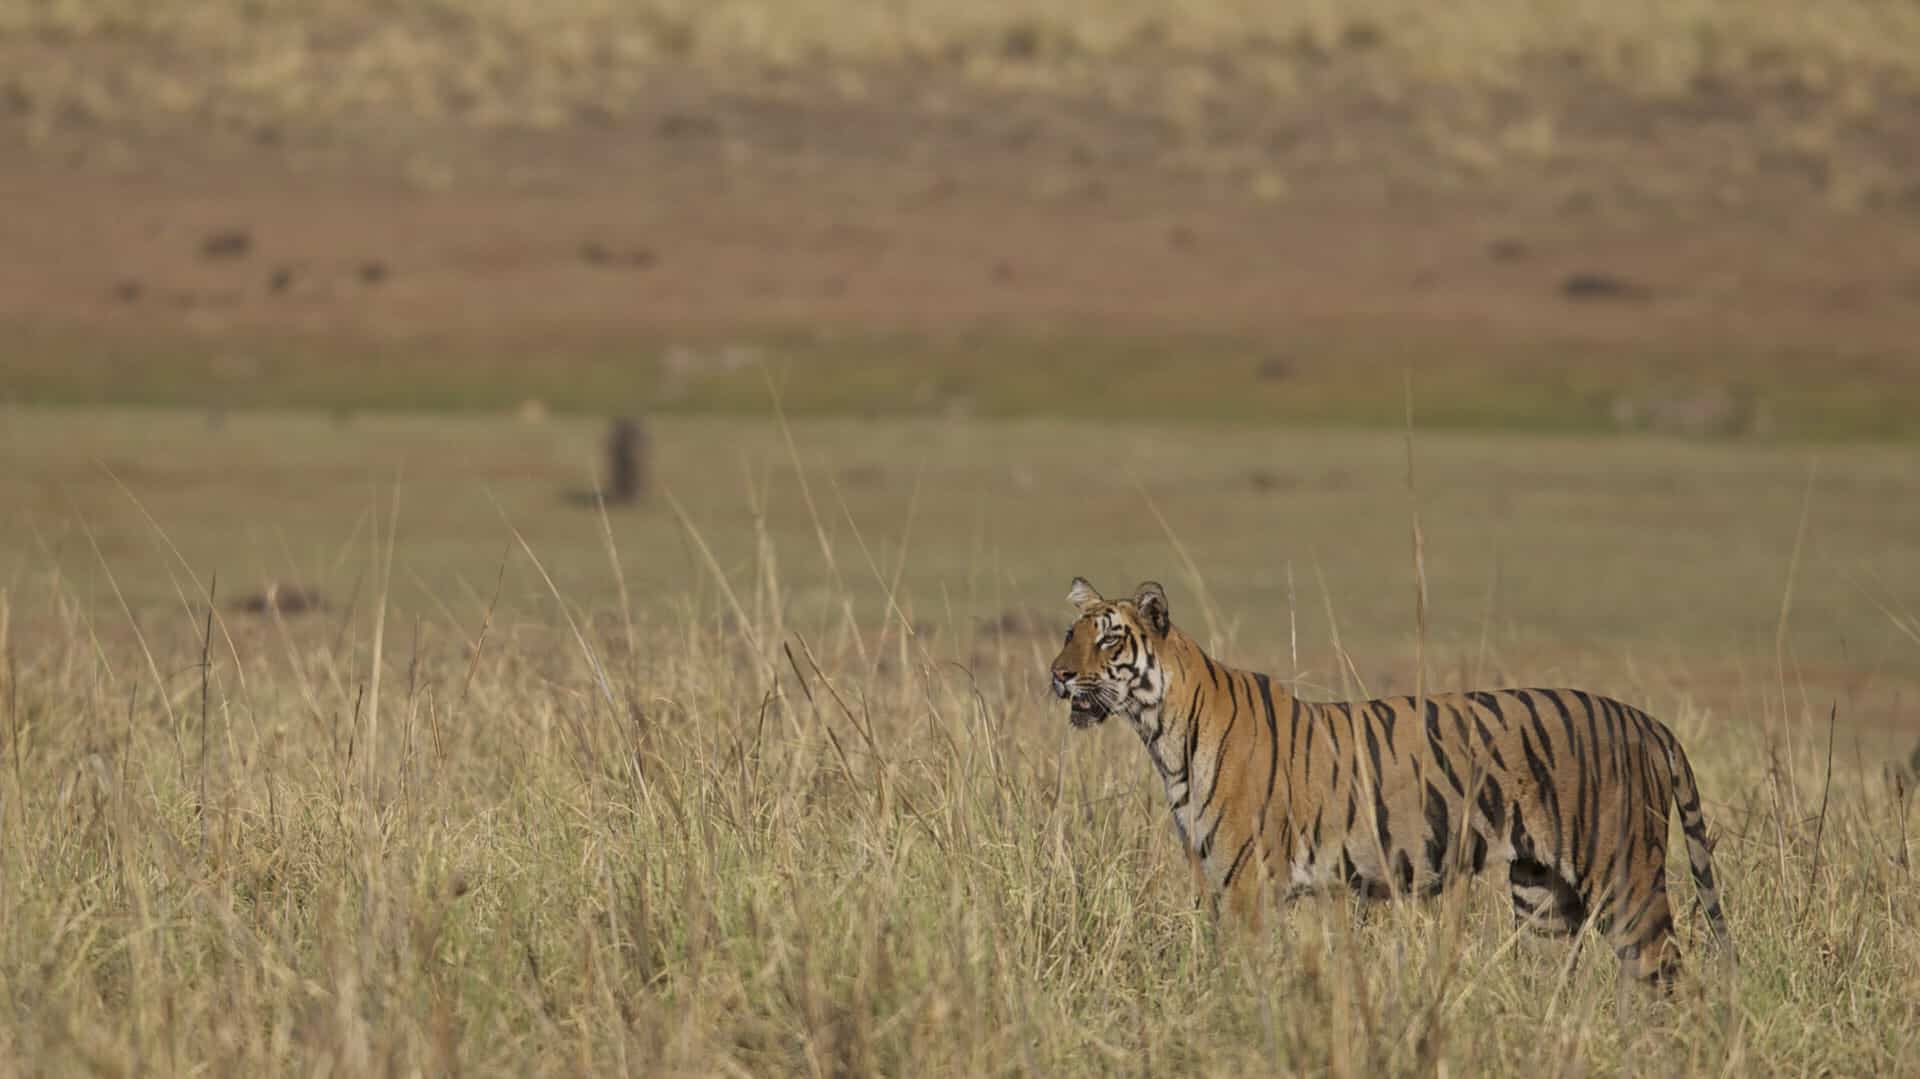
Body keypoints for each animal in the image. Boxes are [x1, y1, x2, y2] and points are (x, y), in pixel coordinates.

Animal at [1048, 577, 1730, 988]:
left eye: (1108, 638)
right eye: (1069, 634)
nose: (1057, 675)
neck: (1161, 729)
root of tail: (1644, 719)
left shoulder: (1246, 887)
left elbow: (1242, 974)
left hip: (1624, 875)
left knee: (1667, 974)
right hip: (1542, 894)